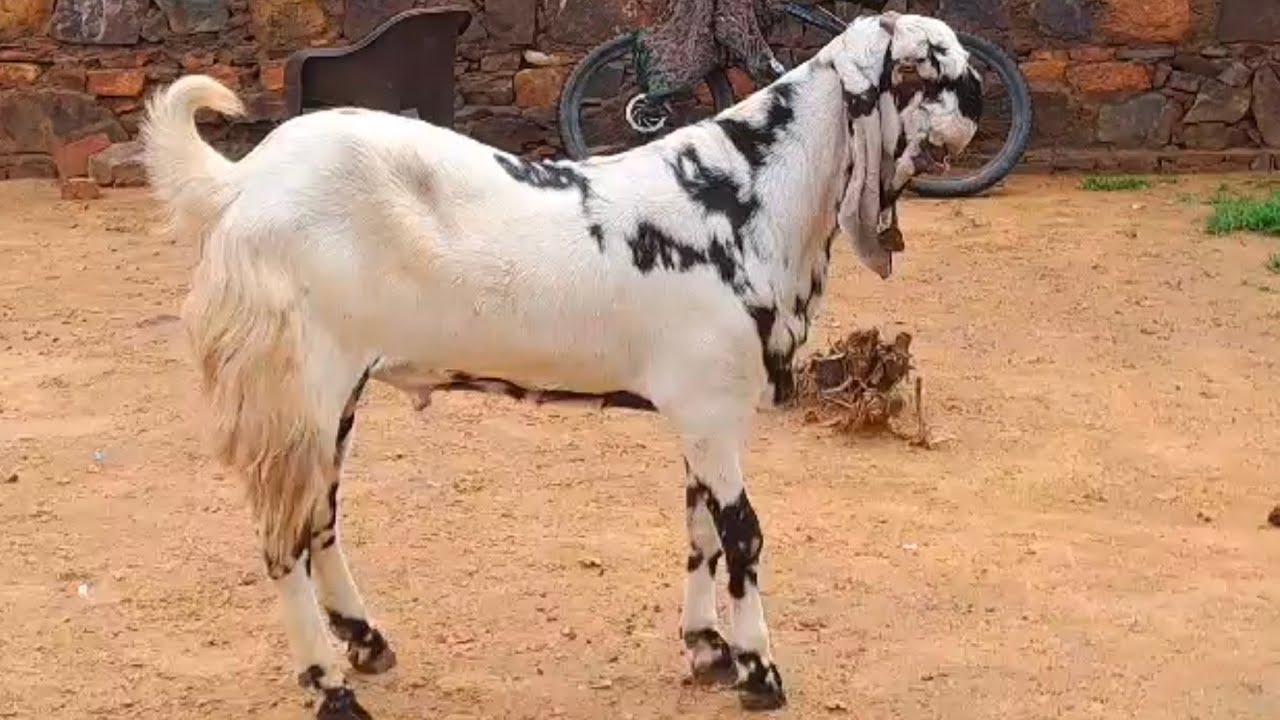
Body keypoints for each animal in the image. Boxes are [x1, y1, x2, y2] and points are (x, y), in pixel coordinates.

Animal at [141, 11, 980, 718]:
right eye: (926, 65)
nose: (977, 99)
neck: (745, 199)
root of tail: (239, 183)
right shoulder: (713, 405)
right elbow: (743, 535)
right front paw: (759, 673)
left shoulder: (701, 412)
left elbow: (700, 530)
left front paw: (706, 651)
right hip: (292, 388)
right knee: (282, 537)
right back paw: (331, 688)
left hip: (330, 391)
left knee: (320, 518)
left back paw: (367, 643)